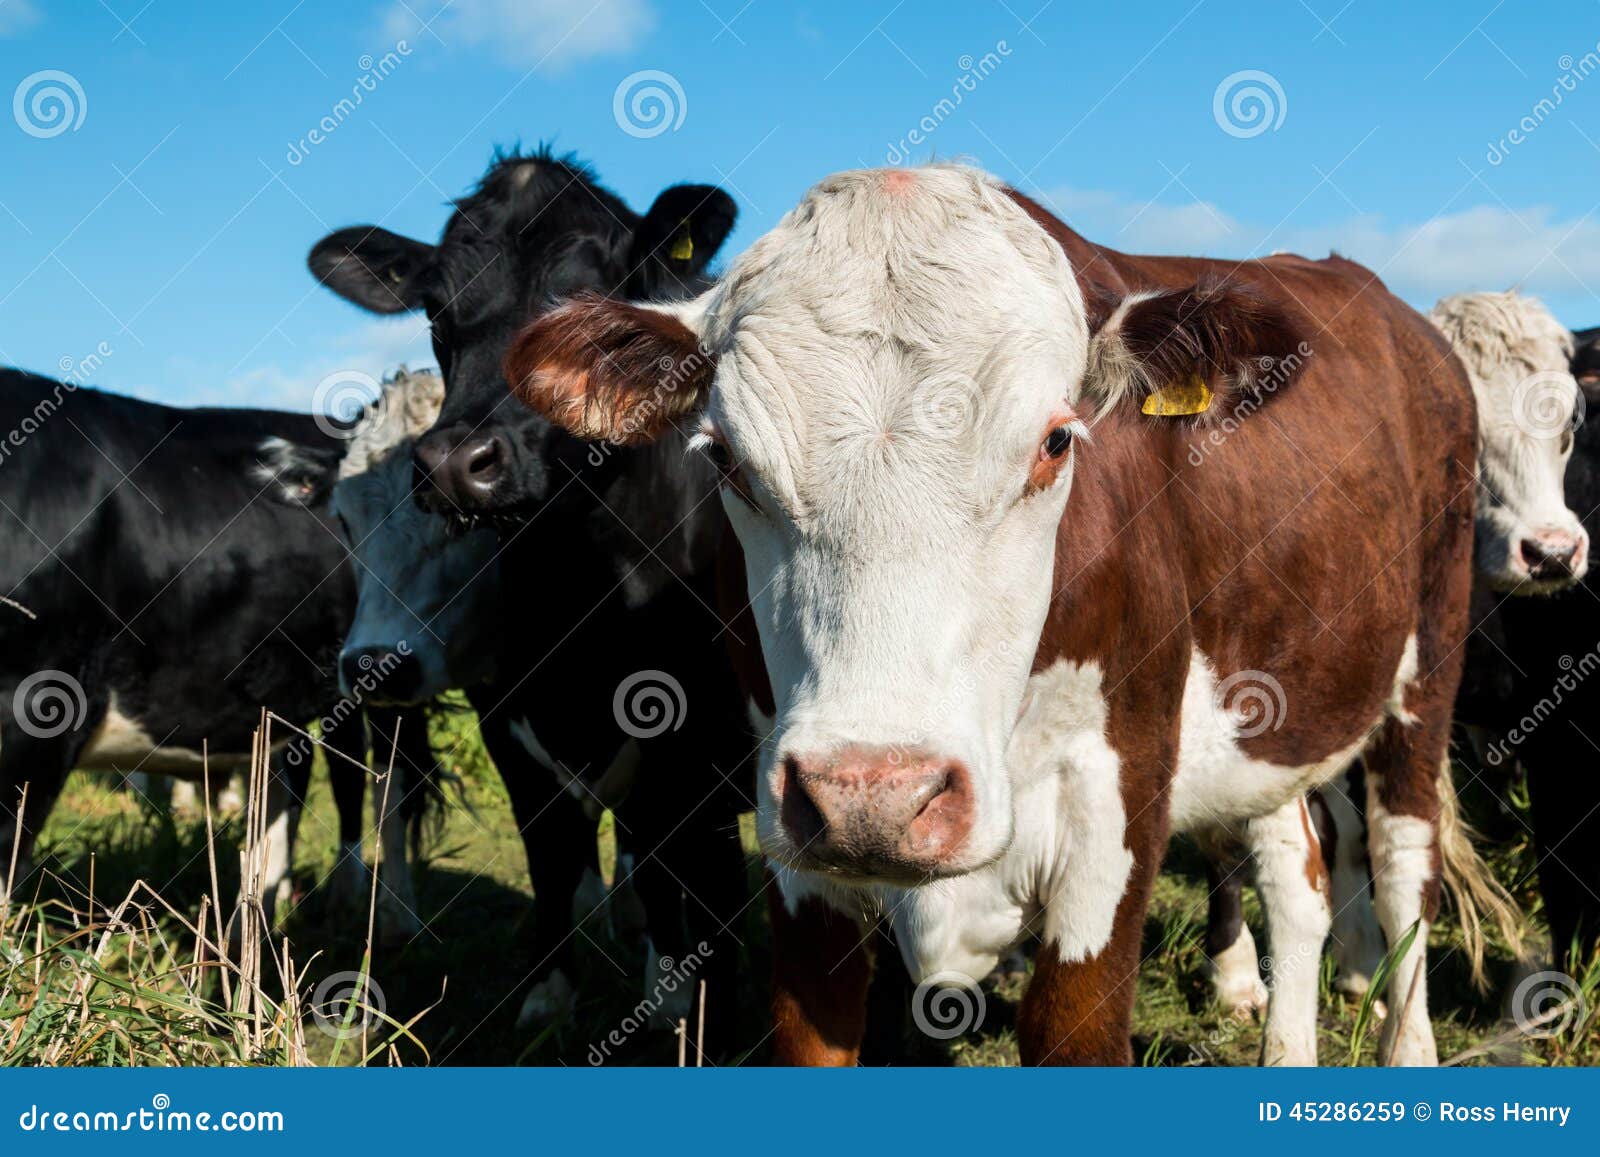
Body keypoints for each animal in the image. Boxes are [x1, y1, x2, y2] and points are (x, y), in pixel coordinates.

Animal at [304, 149, 756, 1050]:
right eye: (436, 310)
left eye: (591, 303)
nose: (454, 462)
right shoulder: (506, 716)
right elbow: (548, 849)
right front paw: (549, 992)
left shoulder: (696, 743)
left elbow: (679, 864)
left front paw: (678, 1000)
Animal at [503, 164, 1480, 1066]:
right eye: (727, 460)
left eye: (1055, 441)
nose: (876, 797)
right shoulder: (797, 850)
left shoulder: (1112, 823)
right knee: (1297, 877)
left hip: (1429, 664)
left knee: (1404, 867)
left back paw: (1408, 1046)